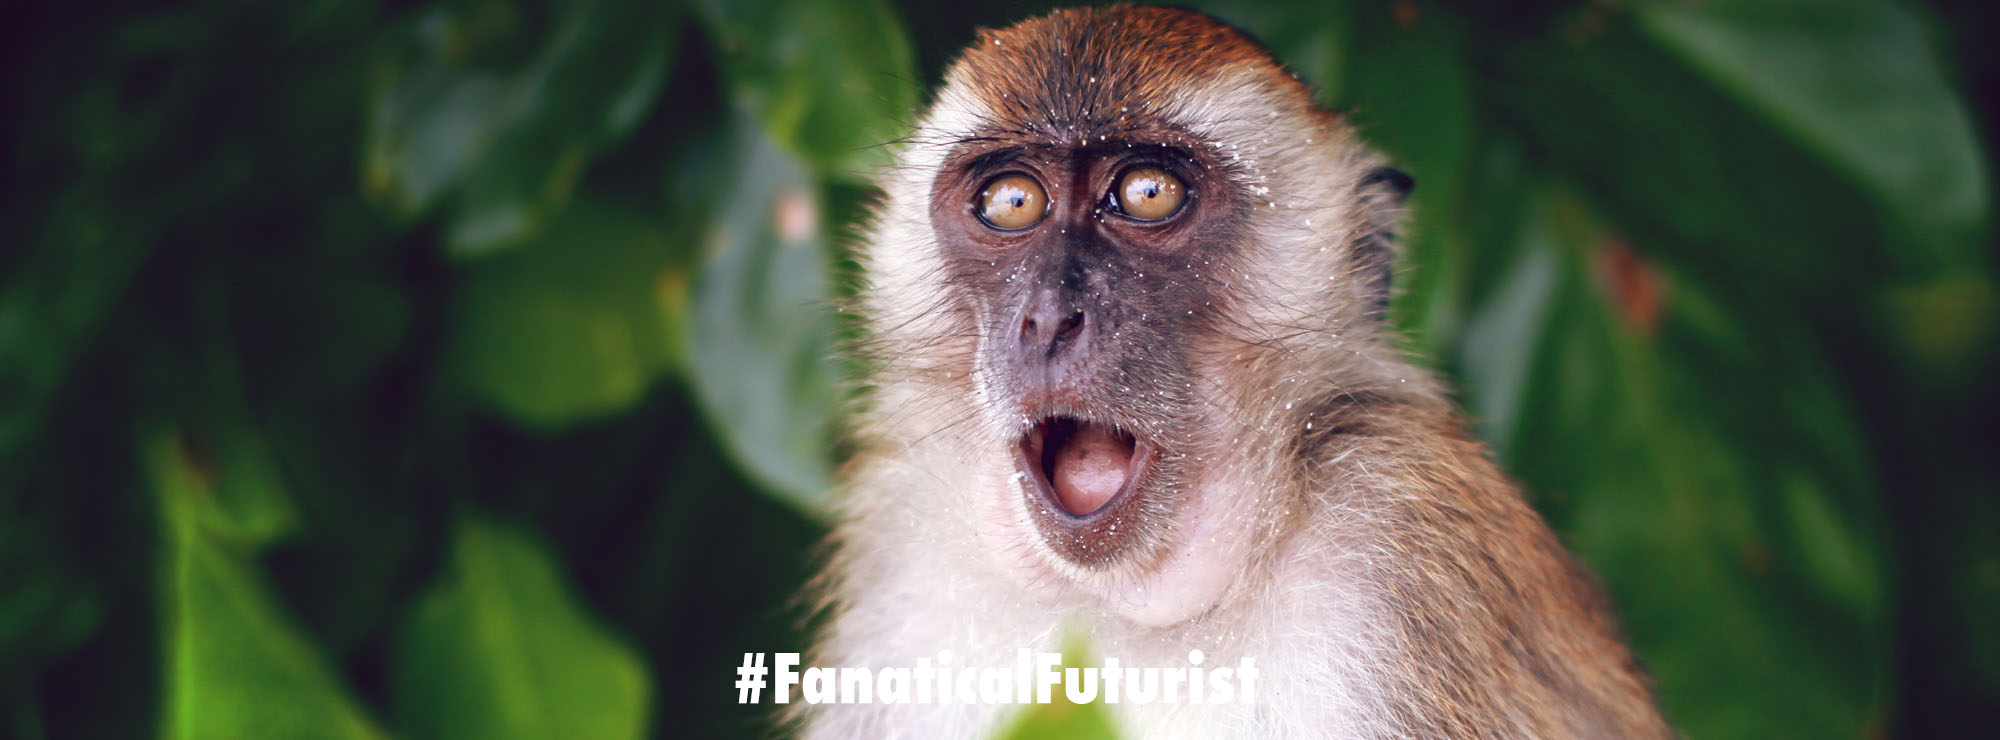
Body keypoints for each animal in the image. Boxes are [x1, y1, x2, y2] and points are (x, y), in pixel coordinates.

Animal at [800, 6, 1672, 738]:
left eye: (1148, 192)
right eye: (1012, 201)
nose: (1047, 318)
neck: (1127, 609)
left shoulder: (1400, 552)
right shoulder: (898, 557)